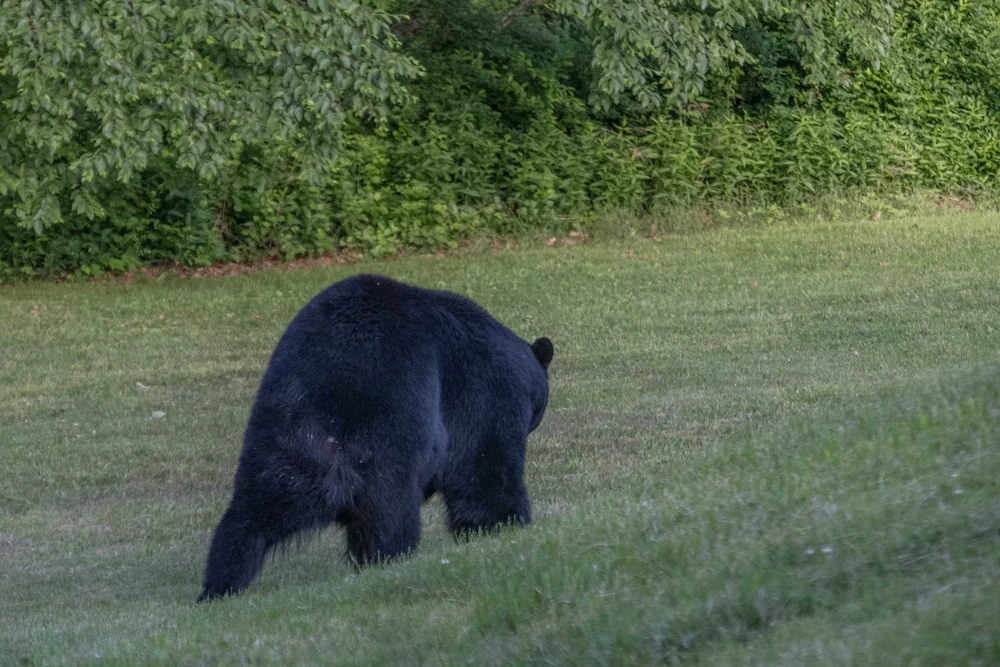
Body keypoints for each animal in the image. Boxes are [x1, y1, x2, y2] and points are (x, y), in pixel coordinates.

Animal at [198, 273, 553, 601]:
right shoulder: (485, 393)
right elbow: (485, 470)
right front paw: (504, 528)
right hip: (387, 446)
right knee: (388, 520)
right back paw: (386, 563)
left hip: (279, 447)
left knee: (248, 518)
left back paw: (219, 585)